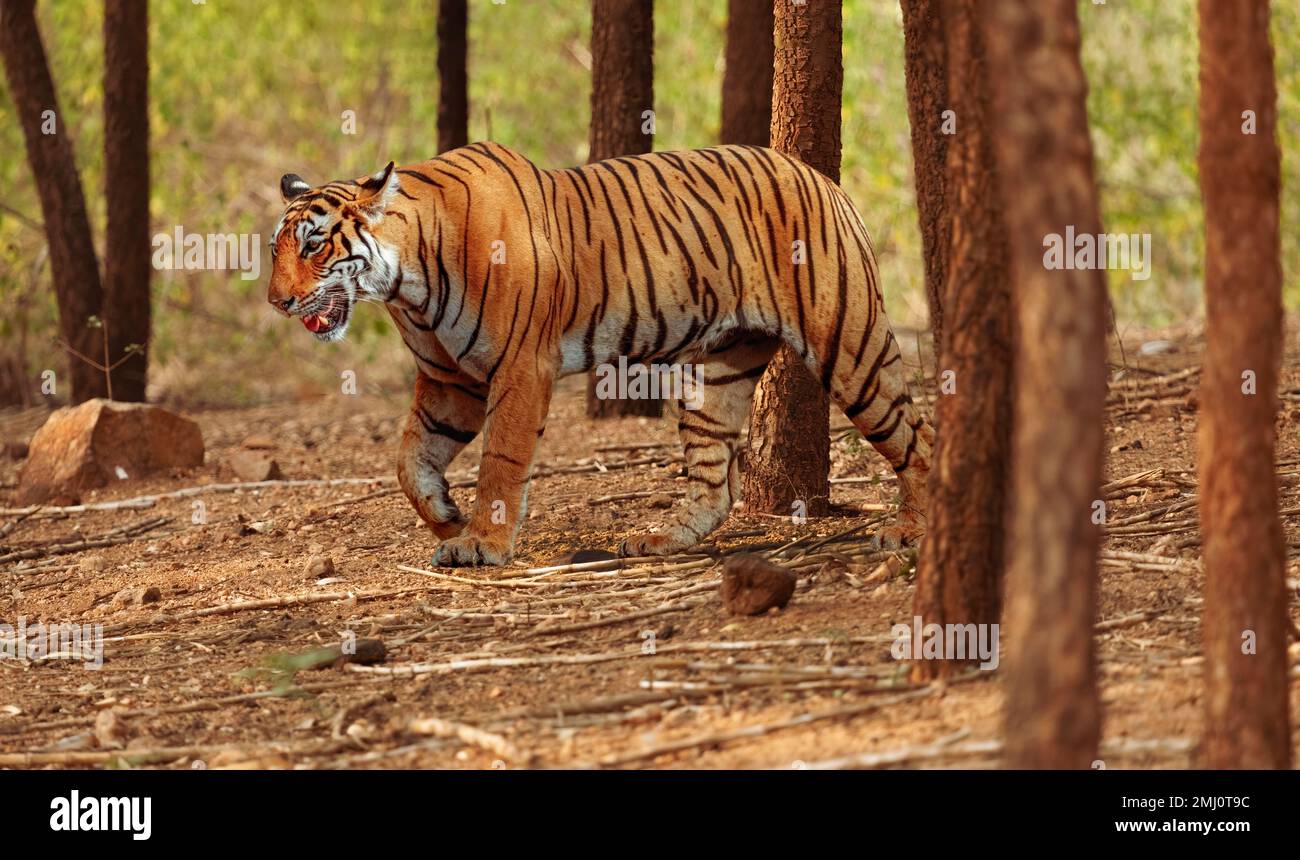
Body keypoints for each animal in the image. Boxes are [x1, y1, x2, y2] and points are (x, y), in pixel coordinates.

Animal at [267, 142, 933, 567]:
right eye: (276, 248)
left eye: (314, 245)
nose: (277, 301)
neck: (405, 284)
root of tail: (819, 176)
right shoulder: (450, 382)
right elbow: (409, 460)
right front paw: (446, 516)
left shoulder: (519, 368)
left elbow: (500, 460)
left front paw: (481, 543)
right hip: (716, 370)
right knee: (714, 481)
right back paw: (661, 542)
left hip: (850, 345)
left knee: (917, 435)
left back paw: (911, 530)